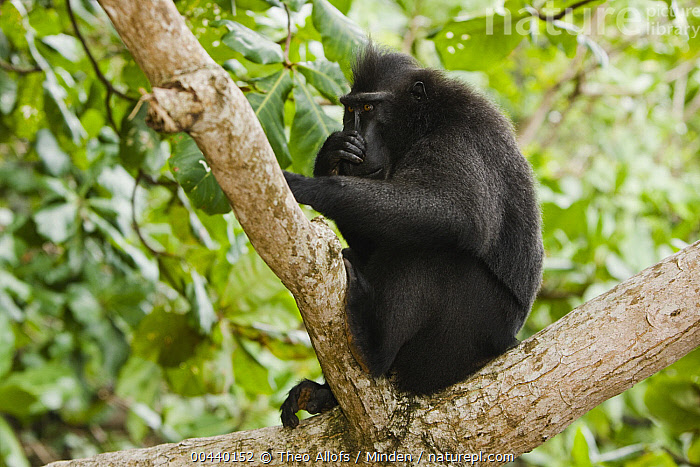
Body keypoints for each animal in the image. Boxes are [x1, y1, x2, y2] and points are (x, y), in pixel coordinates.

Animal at [279, 44, 543, 428]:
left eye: (369, 109)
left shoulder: (459, 140)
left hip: (460, 343)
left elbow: (456, 213)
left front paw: (310, 185)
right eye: (349, 110)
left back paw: (372, 350)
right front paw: (330, 155)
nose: (357, 138)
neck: (426, 122)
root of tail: (506, 342)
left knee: (429, 250)